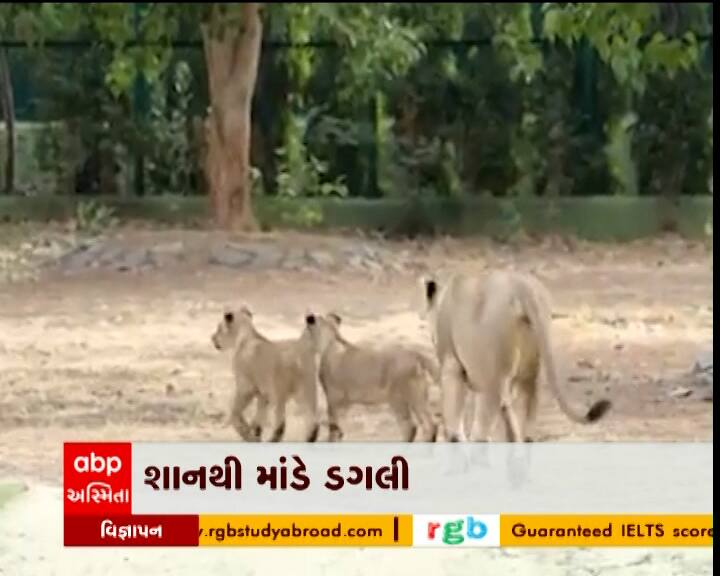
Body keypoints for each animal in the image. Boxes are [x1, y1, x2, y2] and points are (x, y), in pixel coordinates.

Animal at [211, 307, 320, 442]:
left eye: (219, 328)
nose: (212, 338)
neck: (245, 338)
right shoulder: (262, 393)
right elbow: (258, 417)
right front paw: (254, 433)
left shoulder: (246, 387)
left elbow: (235, 411)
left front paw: (246, 432)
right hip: (306, 391)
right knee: (313, 423)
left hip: (279, 392)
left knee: (281, 426)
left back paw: (271, 440)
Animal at [305, 313, 438, 442]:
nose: (308, 318)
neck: (330, 344)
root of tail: (417, 355)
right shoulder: (345, 403)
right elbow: (340, 431)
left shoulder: (333, 399)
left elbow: (334, 430)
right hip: (418, 396)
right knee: (431, 425)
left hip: (398, 399)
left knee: (410, 427)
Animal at [420, 270, 611, 442]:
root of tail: (521, 287)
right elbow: (508, 414)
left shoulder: (452, 365)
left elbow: (453, 416)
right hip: (529, 372)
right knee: (527, 425)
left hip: (490, 378)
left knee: (481, 431)